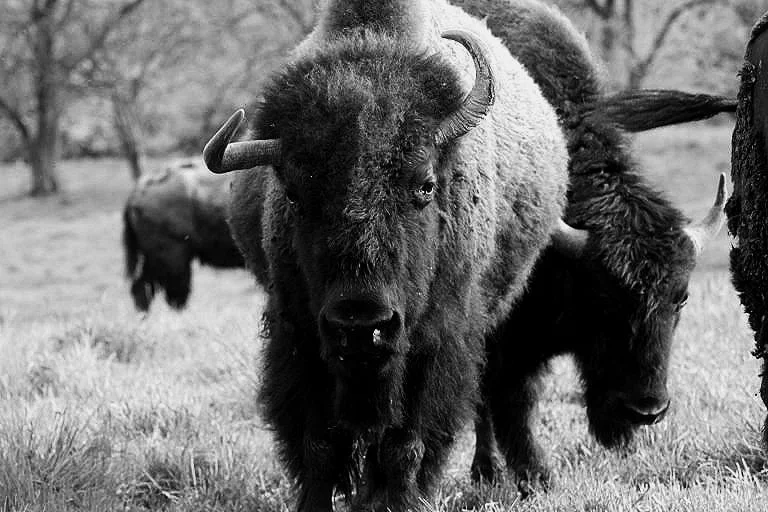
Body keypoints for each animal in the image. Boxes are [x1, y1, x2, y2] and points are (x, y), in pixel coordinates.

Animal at [204, 0, 572, 509]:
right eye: (294, 194)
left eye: (426, 185)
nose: (361, 324)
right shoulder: (298, 336)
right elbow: (319, 443)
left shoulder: (434, 342)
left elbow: (406, 444)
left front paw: (399, 500)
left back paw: (486, 473)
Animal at [453, 0, 730, 491]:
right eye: (605, 299)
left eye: (681, 298)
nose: (647, 410)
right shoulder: (502, 336)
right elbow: (508, 398)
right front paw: (535, 476)